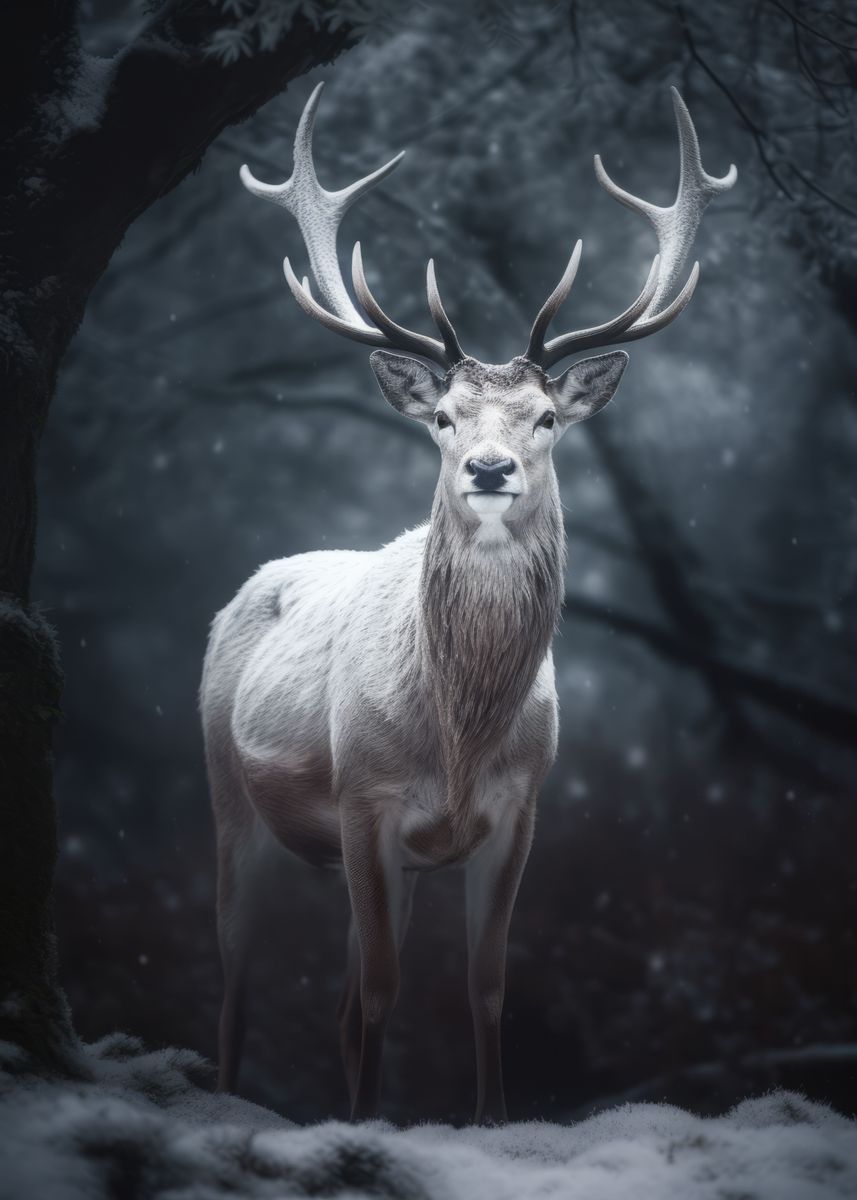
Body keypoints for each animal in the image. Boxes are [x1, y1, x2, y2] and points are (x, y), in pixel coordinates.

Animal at [200, 82, 736, 1124]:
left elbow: (485, 985)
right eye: (445, 418)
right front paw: (366, 1125)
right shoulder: (364, 800)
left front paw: (489, 1117)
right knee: (235, 982)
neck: (455, 739)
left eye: (546, 417)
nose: (489, 469)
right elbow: (382, 993)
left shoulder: (518, 810)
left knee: (334, 1001)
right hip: (227, 794)